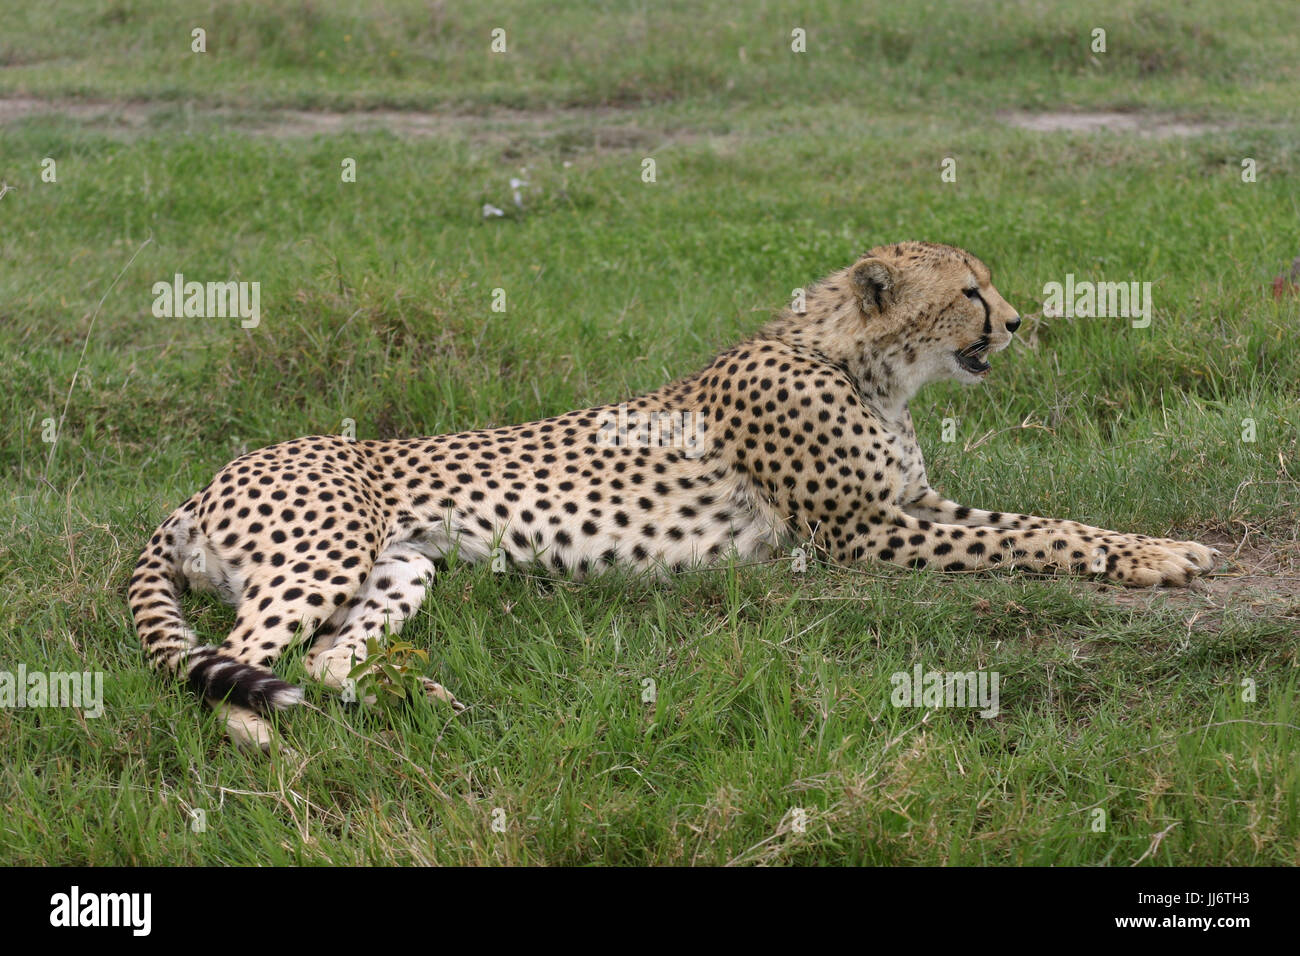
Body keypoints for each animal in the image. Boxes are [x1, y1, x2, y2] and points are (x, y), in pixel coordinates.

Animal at [128, 241, 1218, 751]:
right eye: (968, 292)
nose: (1020, 321)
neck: (857, 362)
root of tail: (206, 478)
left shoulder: (912, 509)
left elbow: (1044, 522)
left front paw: (1156, 550)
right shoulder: (860, 534)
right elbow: (1030, 535)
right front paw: (1153, 557)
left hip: (400, 569)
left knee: (320, 657)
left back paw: (422, 700)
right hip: (325, 555)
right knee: (231, 656)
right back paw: (255, 731)